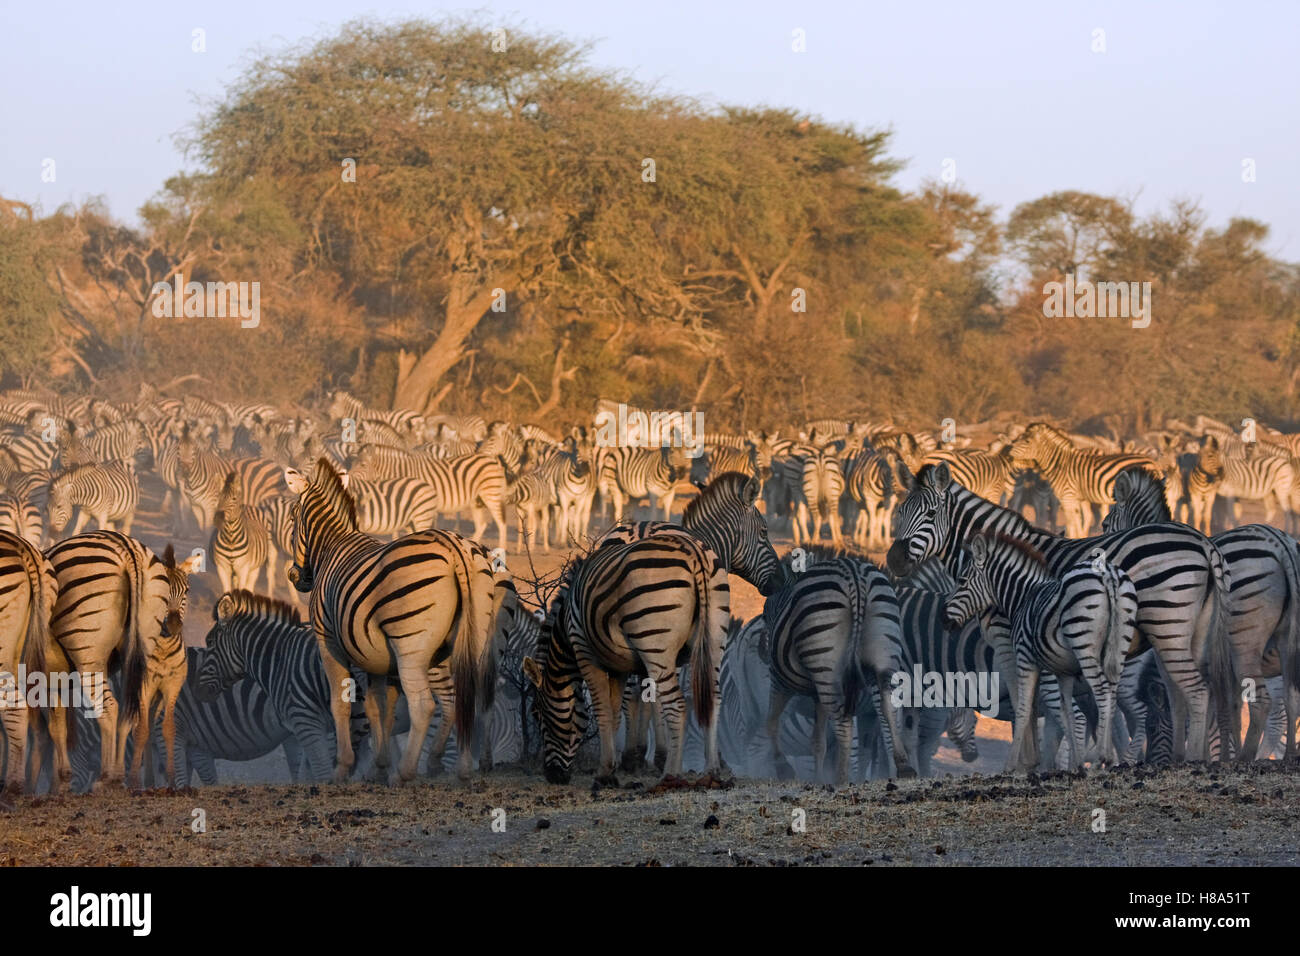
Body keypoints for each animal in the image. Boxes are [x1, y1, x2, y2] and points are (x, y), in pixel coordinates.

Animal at [283, 458, 498, 783]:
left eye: (294, 519)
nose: (295, 576)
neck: (333, 546)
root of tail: (454, 548)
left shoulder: (328, 641)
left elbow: (341, 704)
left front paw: (342, 768)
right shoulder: (377, 657)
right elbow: (380, 709)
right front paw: (378, 768)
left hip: (412, 645)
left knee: (424, 705)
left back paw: (406, 772)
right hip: (469, 638)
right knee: (463, 697)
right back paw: (457, 767)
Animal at [523, 528, 728, 785]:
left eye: (536, 713)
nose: (553, 776)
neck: (565, 627)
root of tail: (693, 552)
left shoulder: (585, 652)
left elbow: (602, 710)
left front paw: (605, 772)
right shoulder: (617, 666)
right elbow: (616, 712)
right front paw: (616, 765)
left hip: (655, 644)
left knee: (677, 705)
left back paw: (671, 774)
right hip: (714, 639)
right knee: (714, 700)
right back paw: (712, 772)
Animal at [761, 554, 915, 783]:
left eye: (764, 613)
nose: (762, 652)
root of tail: (854, 575)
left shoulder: (780, 680)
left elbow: (771, 723)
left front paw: (784, 768)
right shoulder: (817, 694)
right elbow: (818, 741)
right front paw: (817, 779)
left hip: (826, 665)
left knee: (844, 720)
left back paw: (841, 777)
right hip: (883, 653)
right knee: (888, 706)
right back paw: (903, 766)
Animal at [945, 533, 1137, 771]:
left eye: (961, 582)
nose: (943, 619)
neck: (1023, 596)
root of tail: (1108, 573)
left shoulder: (1025, 658)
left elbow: (1024, 708)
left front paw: (1012, 765)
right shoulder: (1063, 672)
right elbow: (1066, 713)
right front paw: (1075, 764)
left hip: (1084, 643)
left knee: (1102, 690)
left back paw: (1102, 757)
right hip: (1119, 644)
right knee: (1111, 691)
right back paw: (1105, 758)